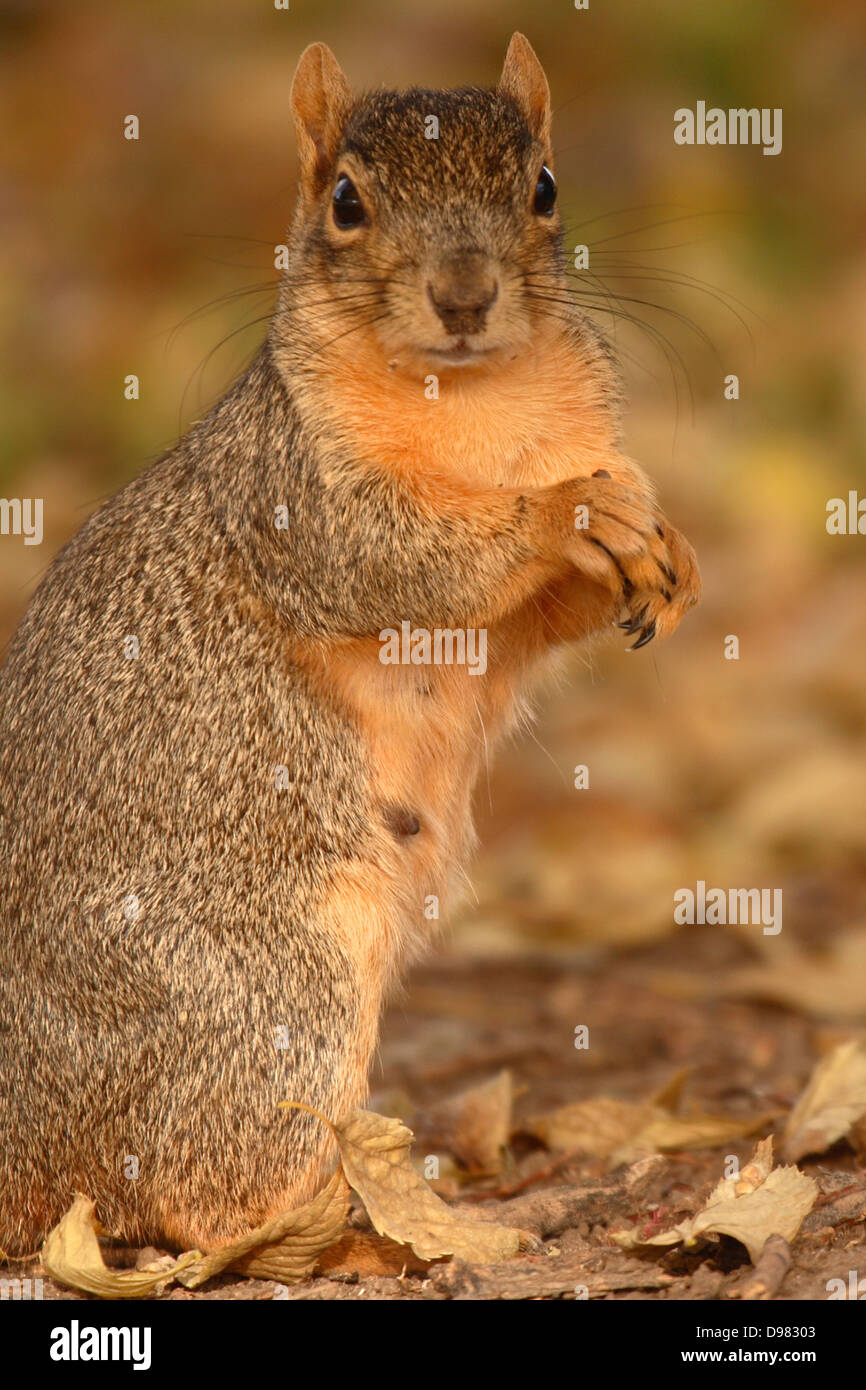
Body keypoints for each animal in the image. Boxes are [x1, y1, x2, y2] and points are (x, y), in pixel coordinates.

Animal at [0, 34, 699, 1256]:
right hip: (270, 997)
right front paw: (564, 513)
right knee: (194, 1197)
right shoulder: (297, 495)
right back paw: (380, 1218)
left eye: (542, 186)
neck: (475, 403)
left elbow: (531, 619)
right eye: (345, 202)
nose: (464, 297)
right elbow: (397, 557)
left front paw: (664, 541)